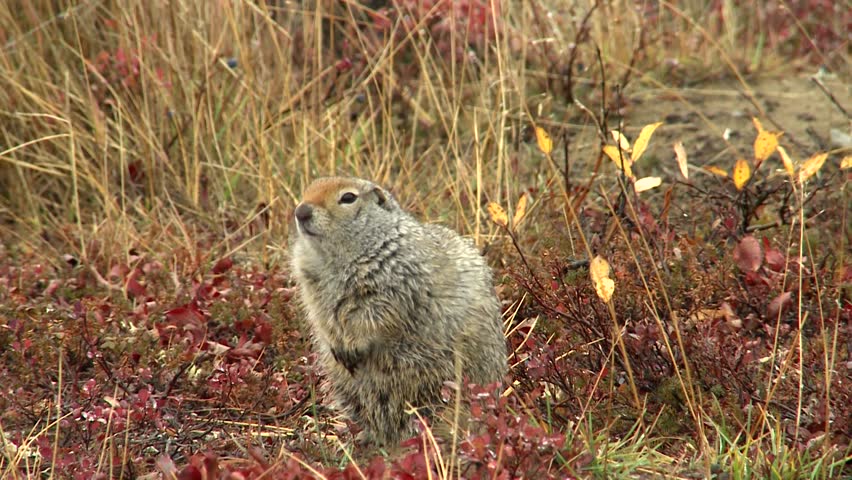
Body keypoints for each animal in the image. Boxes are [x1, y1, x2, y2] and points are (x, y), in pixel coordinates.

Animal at [288, 177, 507, 445]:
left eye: (348, 197)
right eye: (307, 190)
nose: (301, 211)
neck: (335, 259)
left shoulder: (394, 280)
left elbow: (378, 316)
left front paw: (353, 345)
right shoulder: (311, 284)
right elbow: (320, 317)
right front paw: (336, 343)